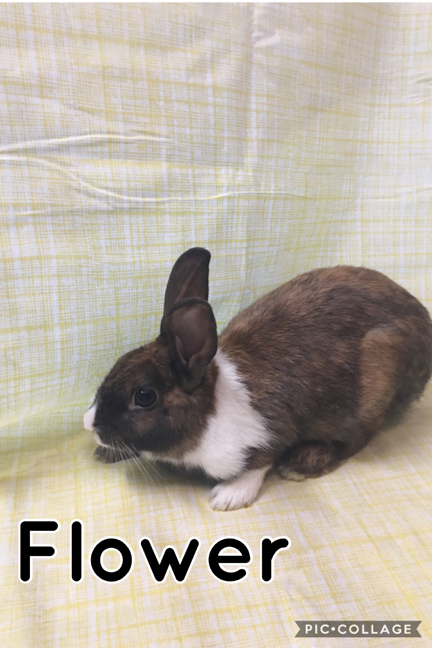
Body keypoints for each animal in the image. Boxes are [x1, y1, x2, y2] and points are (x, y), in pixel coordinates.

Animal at [84, 248, 432, 510]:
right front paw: (105, 453)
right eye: (118, 364)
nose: (90, 424)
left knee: (358, 439)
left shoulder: (269, 433)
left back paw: (302, 463)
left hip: (377, 377)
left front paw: (229, 496)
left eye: (144, 396)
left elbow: (261, 461)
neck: (208, 411)